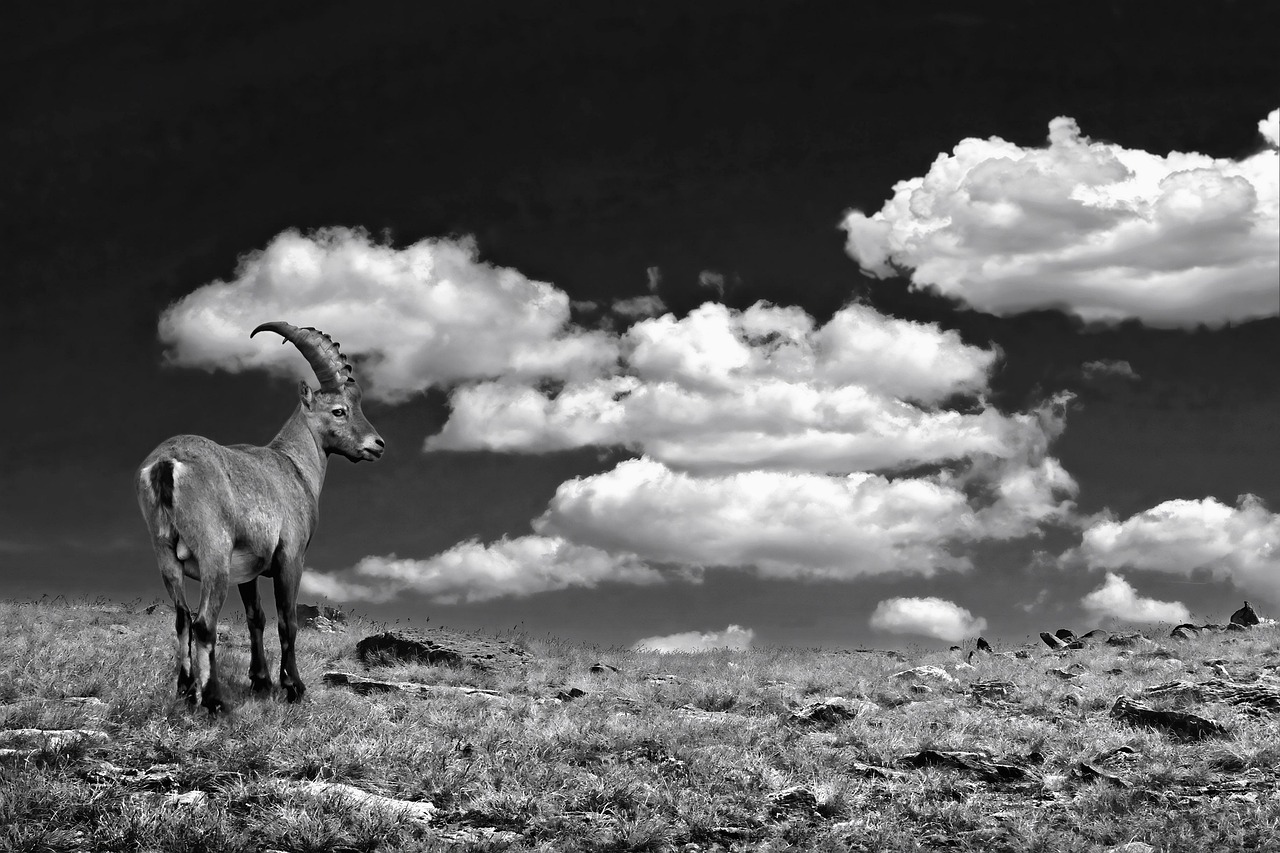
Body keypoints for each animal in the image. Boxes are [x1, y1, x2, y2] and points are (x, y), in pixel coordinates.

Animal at [136, 322, 384, 712]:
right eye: (339, 410)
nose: (377, 444)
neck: (294, 465)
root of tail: (166, 464)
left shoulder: (248, 569)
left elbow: (257, 617)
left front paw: (261, 682)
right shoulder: (290, 557)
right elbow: (287, 621)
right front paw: (293, 686)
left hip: (165, 553)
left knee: (181, 618)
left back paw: (185, 690)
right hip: (214, 552)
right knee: (204, 622)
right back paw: (213, 700)